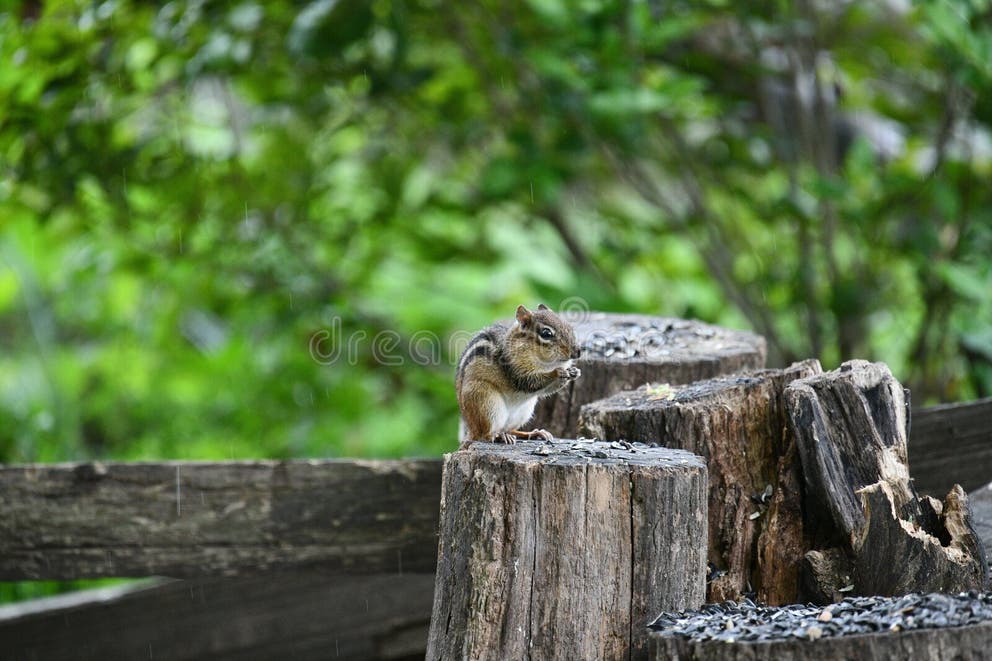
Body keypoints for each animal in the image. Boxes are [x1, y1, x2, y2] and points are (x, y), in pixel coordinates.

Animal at [456, 303, 581, 446]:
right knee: (485, 435)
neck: (546, 364)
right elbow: (528, 381)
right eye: (546, 333)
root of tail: (471, 430)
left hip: (524, 411)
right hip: (486, 402)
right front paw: (557, 372)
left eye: (569, 327)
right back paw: (499, 436)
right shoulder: (514, 369)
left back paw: (534, 433)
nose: (578, 352)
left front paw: (574, 372)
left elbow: (546, 390)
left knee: (510, 430)